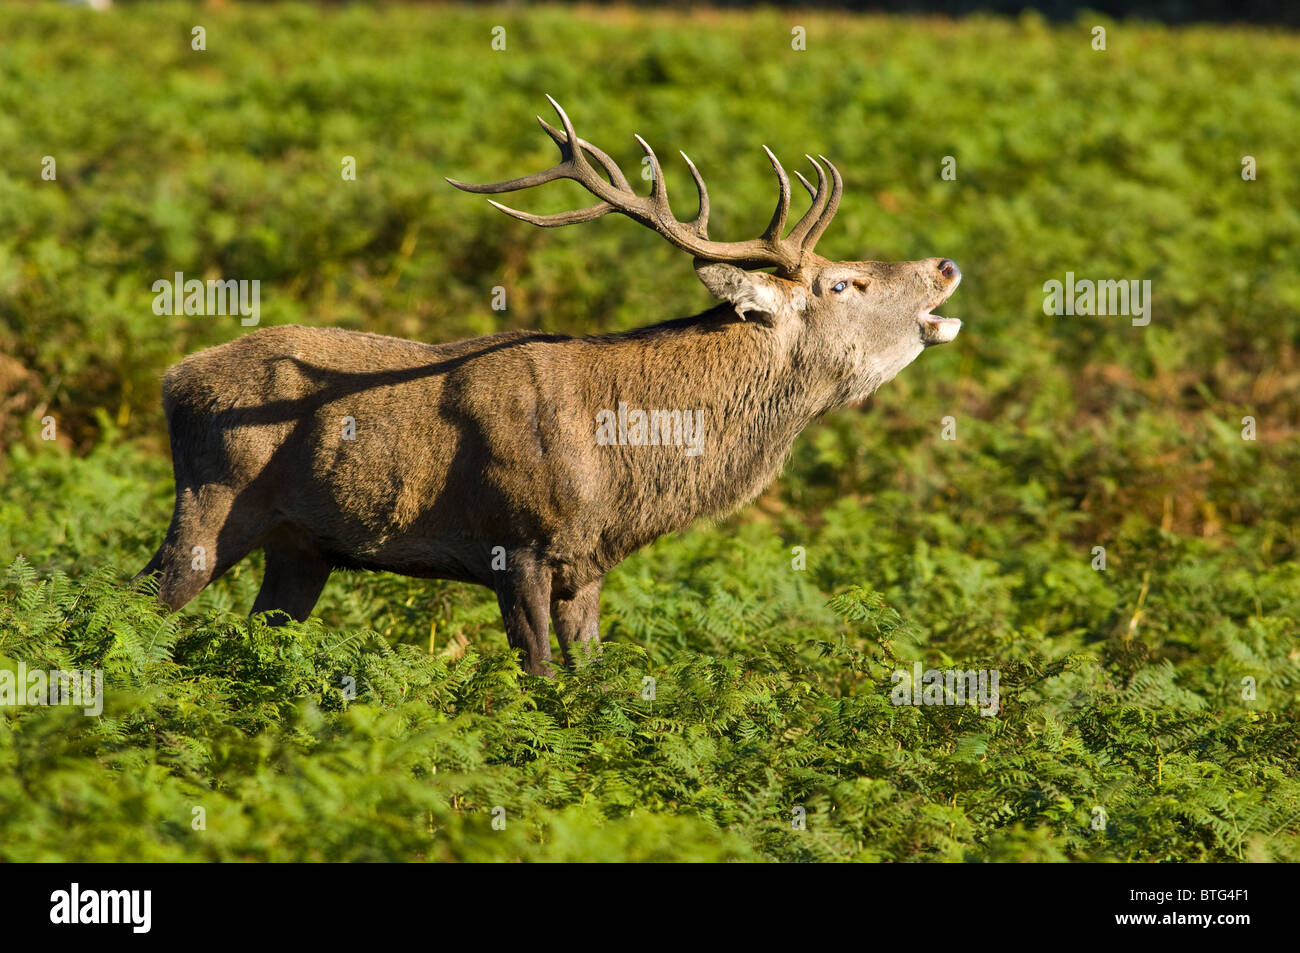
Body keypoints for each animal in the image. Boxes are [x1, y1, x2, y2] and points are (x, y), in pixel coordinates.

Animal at [135, 97, 962, 676]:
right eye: (842, 282)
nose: (945, 264)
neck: (625, 463)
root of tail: (173, 378)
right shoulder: (517, 540)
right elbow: (538, 677)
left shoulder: (586, 564)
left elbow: (589, 677)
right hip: (212, 500)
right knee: (143, 594)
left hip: (302, 547)